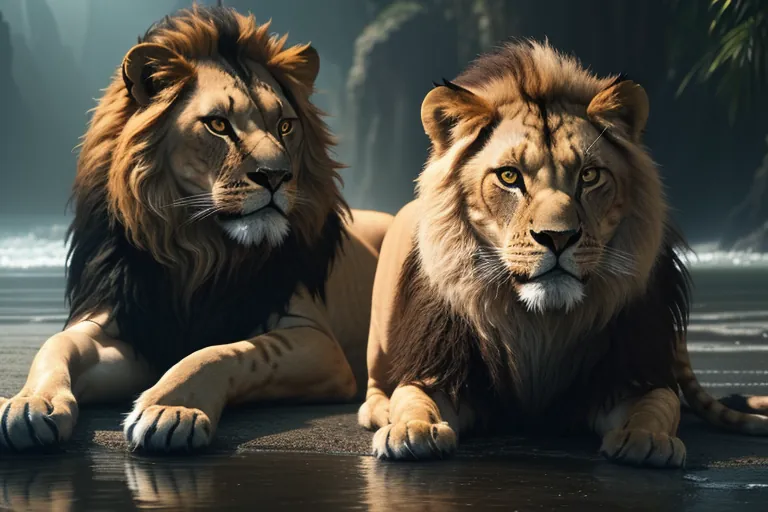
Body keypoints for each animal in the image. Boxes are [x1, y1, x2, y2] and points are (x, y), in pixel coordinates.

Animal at [0, 6, 392, 454]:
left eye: (285, 126)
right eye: (218, 125)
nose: (277, 176)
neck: (198, 253)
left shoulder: (318, 342)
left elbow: (227, 352)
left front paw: (172, 408)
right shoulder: (127, 327)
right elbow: (56, 344)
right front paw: (30, 403)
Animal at [358, 41, 768, 468]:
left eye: (589, 175)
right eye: (509, 176)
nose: (558, 238)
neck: (540, 326)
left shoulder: (627, 373)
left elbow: (659, 403)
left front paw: (648, 438)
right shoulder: (442, 370)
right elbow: (412, 397)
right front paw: (410, 429)